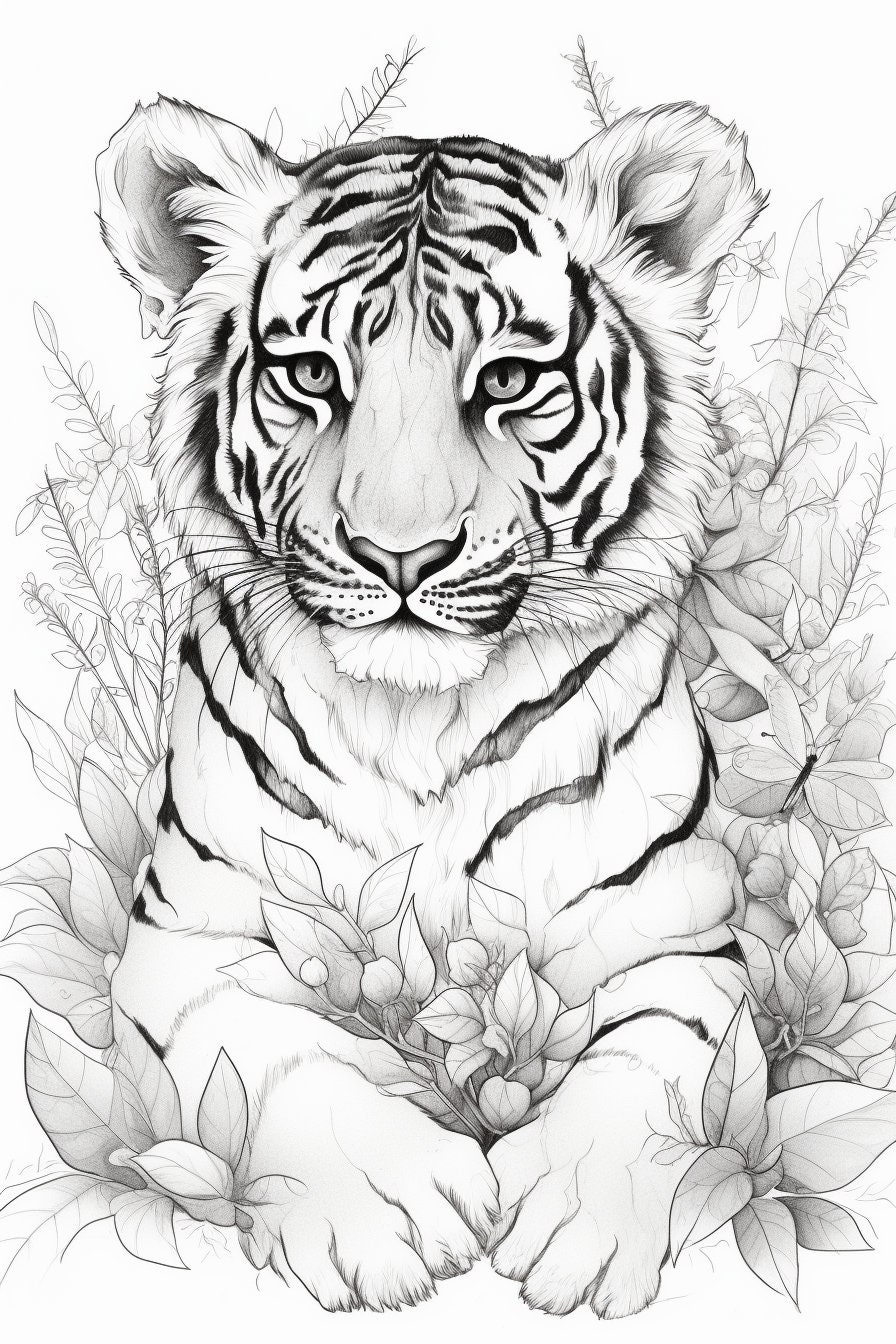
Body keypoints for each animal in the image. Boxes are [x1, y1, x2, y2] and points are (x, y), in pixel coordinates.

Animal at [97, 94, 763, 1316]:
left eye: (504, 381)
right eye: (313, 374)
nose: (398, 553)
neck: (420, 723)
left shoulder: (682, 943)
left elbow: (650, 1060)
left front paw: (580, 1225)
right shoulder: (184, 939)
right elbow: (271, 1047)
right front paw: (390, 1213)